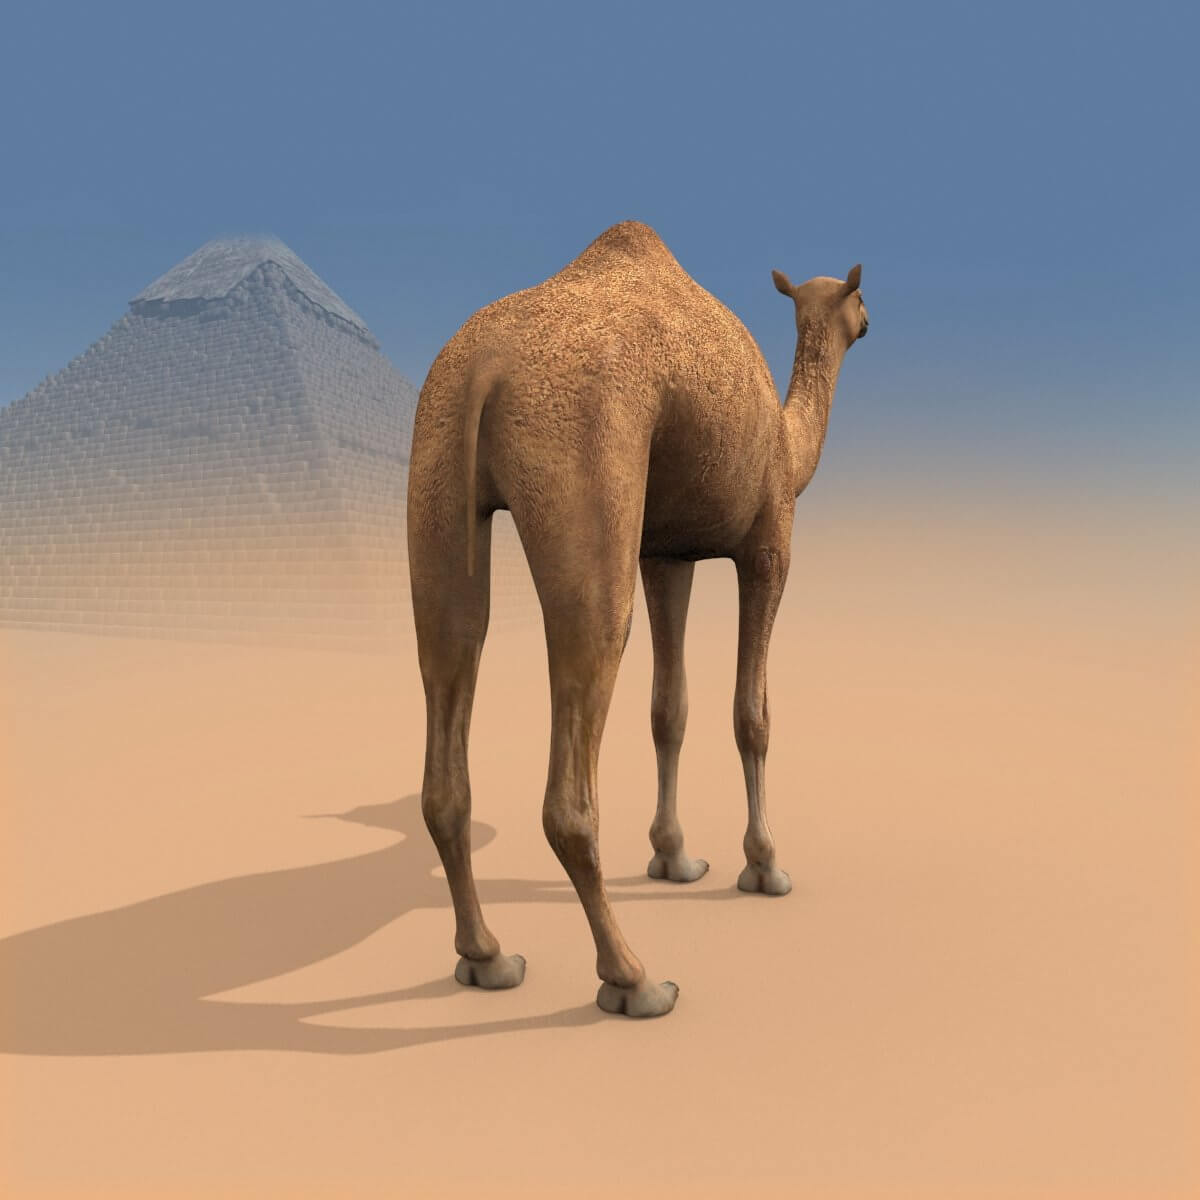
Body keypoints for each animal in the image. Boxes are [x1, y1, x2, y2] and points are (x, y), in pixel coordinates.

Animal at [407, 220, 868, 1017]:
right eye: (859, 299)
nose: (871, 321)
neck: (790, 438)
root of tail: (486, 372)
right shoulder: (768, 544)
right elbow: (752, 714)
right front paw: (764, 866)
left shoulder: (666, 555)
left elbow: (668, 710)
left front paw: (674, 856)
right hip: (585, 468)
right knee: (573, 764)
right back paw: (635, 980)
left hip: (435, 466)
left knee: (451, 676)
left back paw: (487, 958)